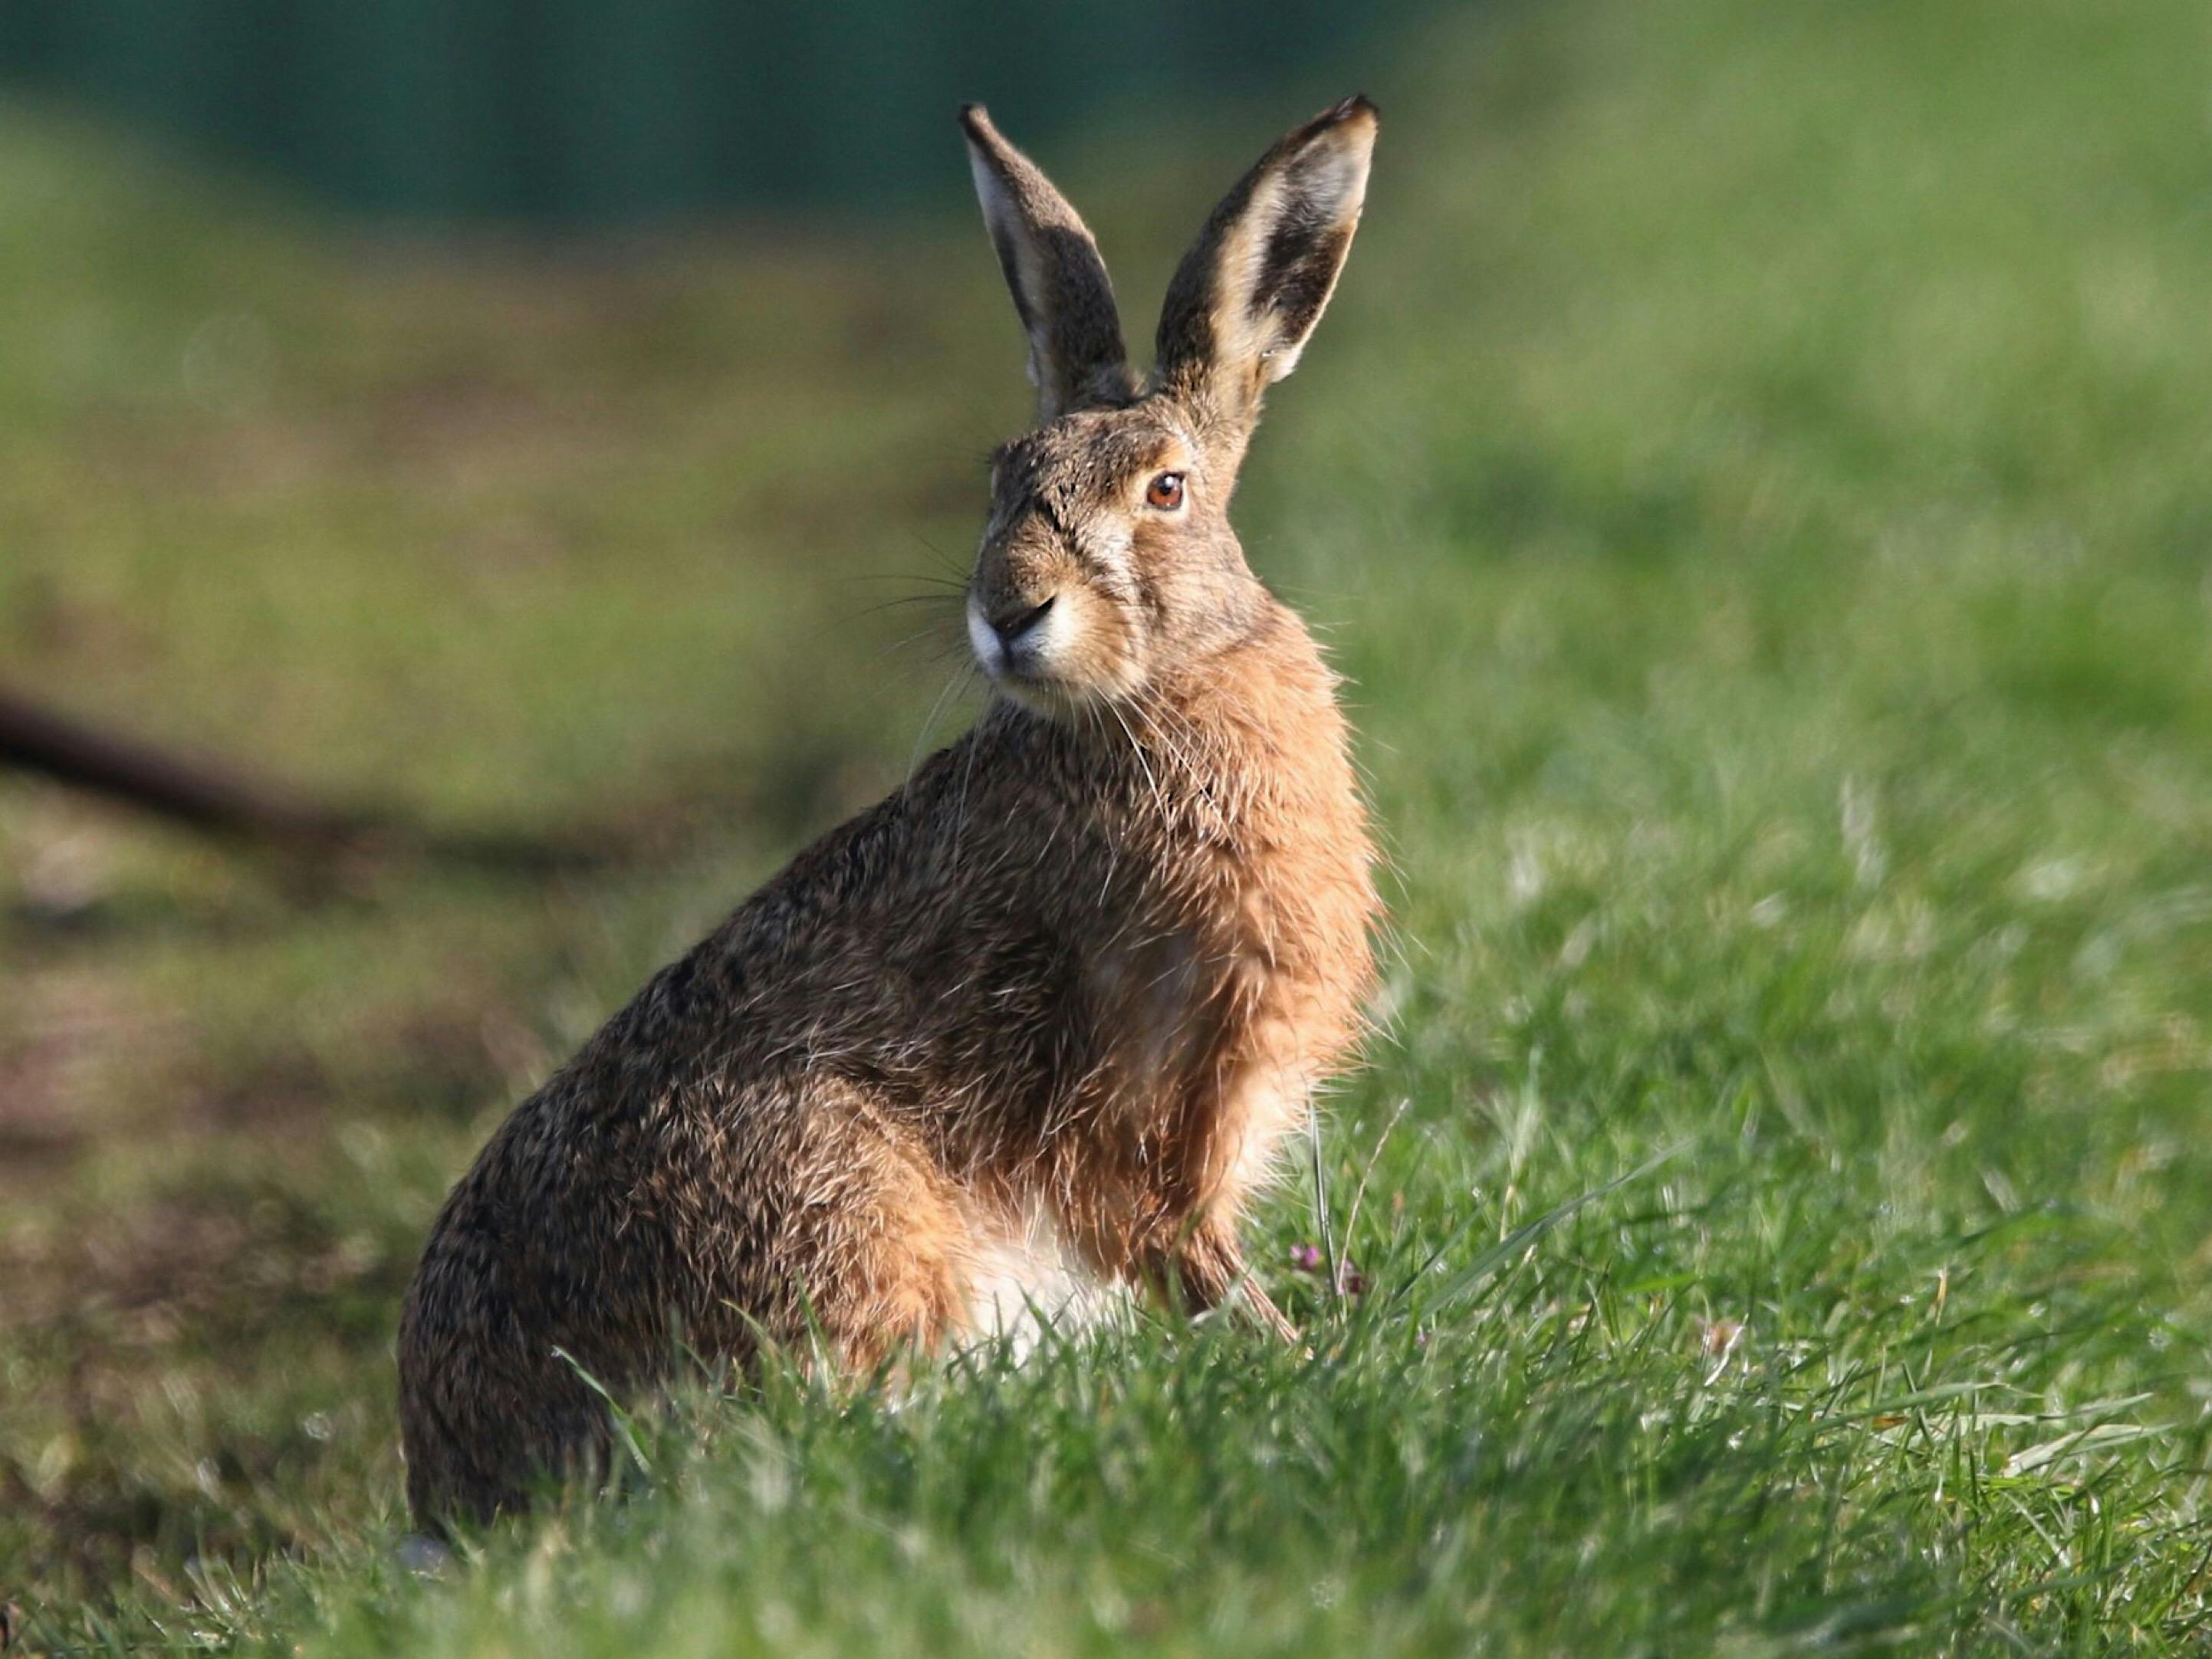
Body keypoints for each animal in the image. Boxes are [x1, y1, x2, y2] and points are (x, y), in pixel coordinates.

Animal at [398, 94, 1382, 1530]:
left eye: (1166, 490)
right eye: (999, 478)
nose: (1011, 608)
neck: (1154, 695)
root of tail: (461, 1487)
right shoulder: (1152, 1090)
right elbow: (1185, 1252)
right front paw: (1298, 1361)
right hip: (835, 1198)